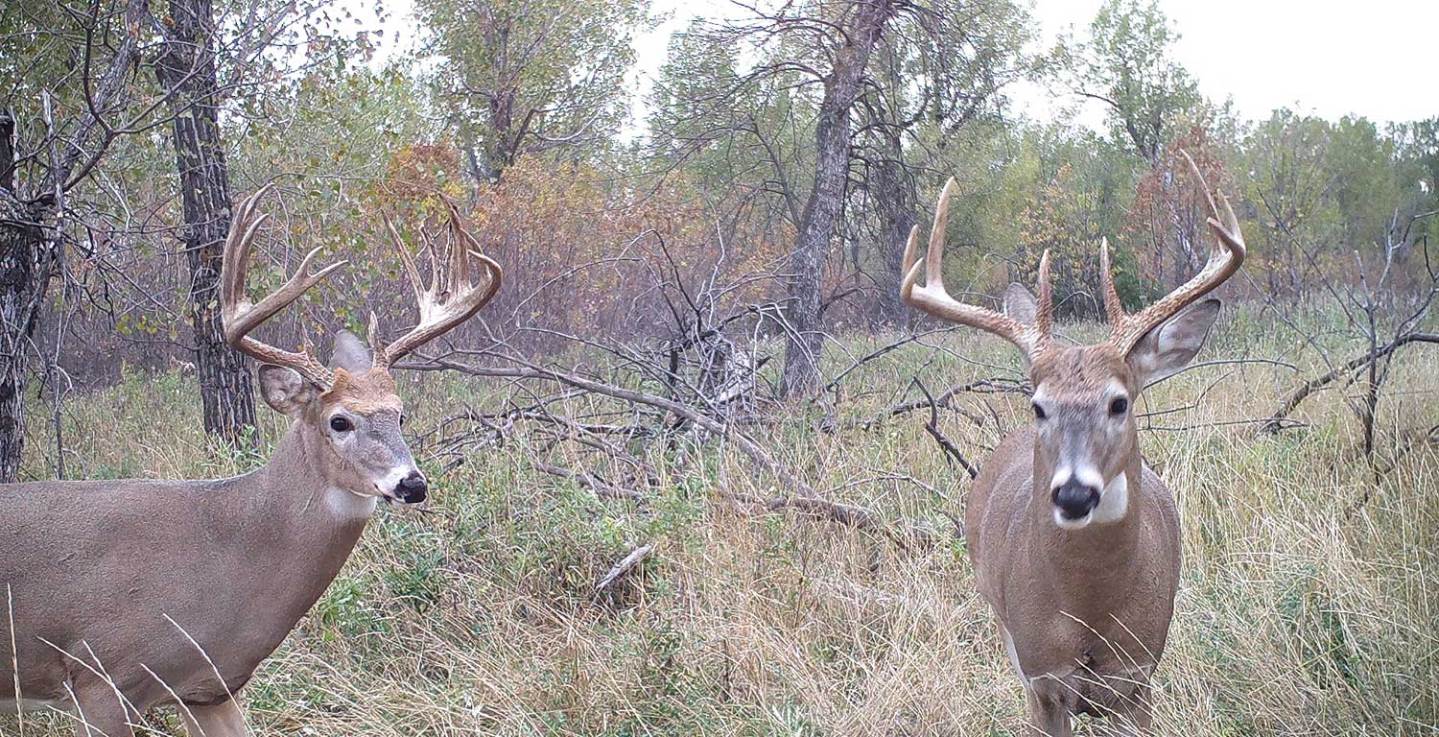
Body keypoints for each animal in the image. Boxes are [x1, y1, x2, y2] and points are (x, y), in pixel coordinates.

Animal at [0, 185, 501, 737]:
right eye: (339, 421)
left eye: (401, 414)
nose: (412, 484)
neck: (222, 550)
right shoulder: (98, 677)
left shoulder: (210, 687)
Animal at [899, 154, 1244, 736]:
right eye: (1038, 405)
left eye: (1119, 402)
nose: (1075, 495)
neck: (1088, 609)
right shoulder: (1042, 679)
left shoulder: (1137, 675)